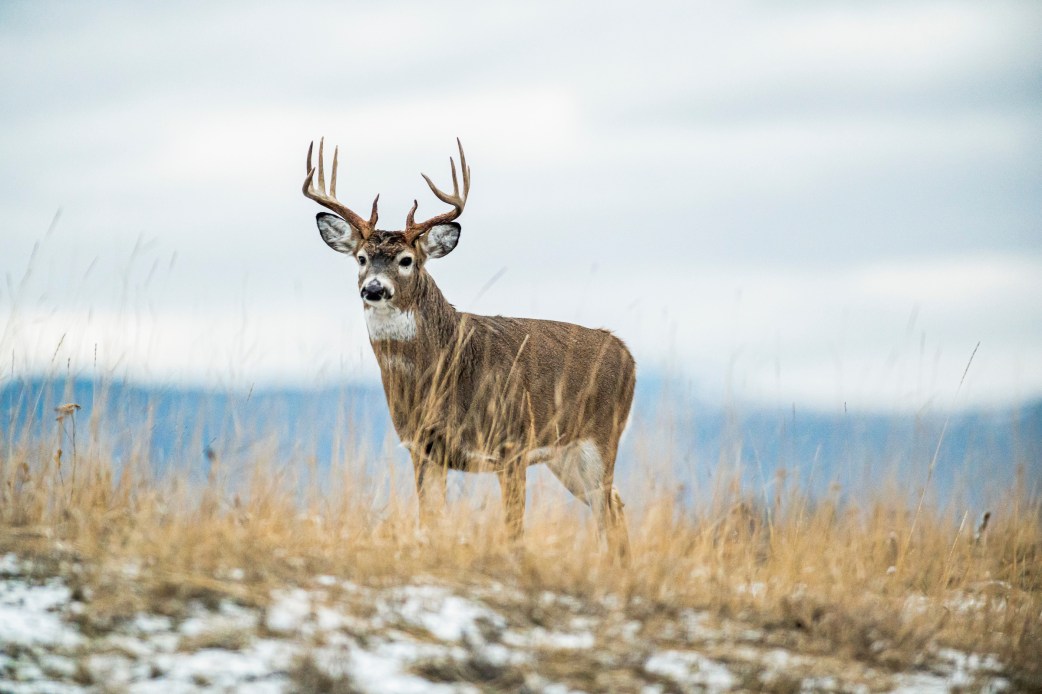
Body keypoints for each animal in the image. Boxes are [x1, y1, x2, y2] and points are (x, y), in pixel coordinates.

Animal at [302, 138, 635, 558]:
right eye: (361, 258)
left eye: (406, 260)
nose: (374, 289)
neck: (444, 371)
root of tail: (627, 354)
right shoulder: (423, 450)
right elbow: (429, 523)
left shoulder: (512, 442)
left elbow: (514, 531)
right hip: (565, 455)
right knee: (614, 507)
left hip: (601, 438)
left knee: (609, 510)